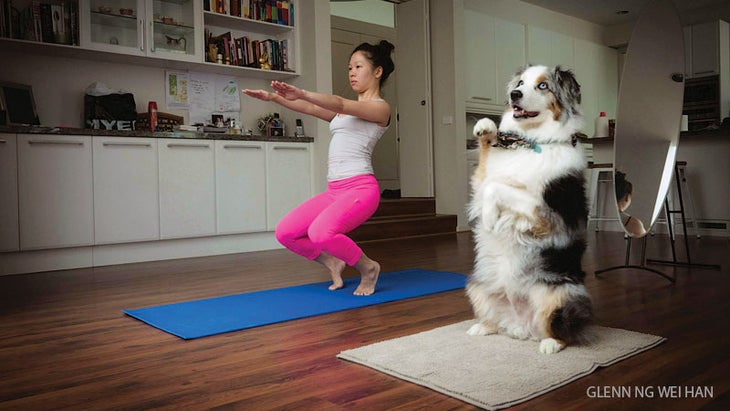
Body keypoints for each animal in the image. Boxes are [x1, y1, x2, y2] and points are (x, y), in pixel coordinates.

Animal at [466, 65, 592, 354]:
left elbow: (496, 187)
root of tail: (521, 325)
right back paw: (483, 327)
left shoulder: (546, 213)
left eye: (543, 86)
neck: (533, 141)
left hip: (562, 295)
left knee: (564, 331)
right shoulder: (481, 181)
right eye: (520, 83)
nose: (515, 94)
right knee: (495, 321)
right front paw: (486, 128)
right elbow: (486, 176)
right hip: (477, 284)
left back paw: (550, 345)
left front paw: (489, 218)